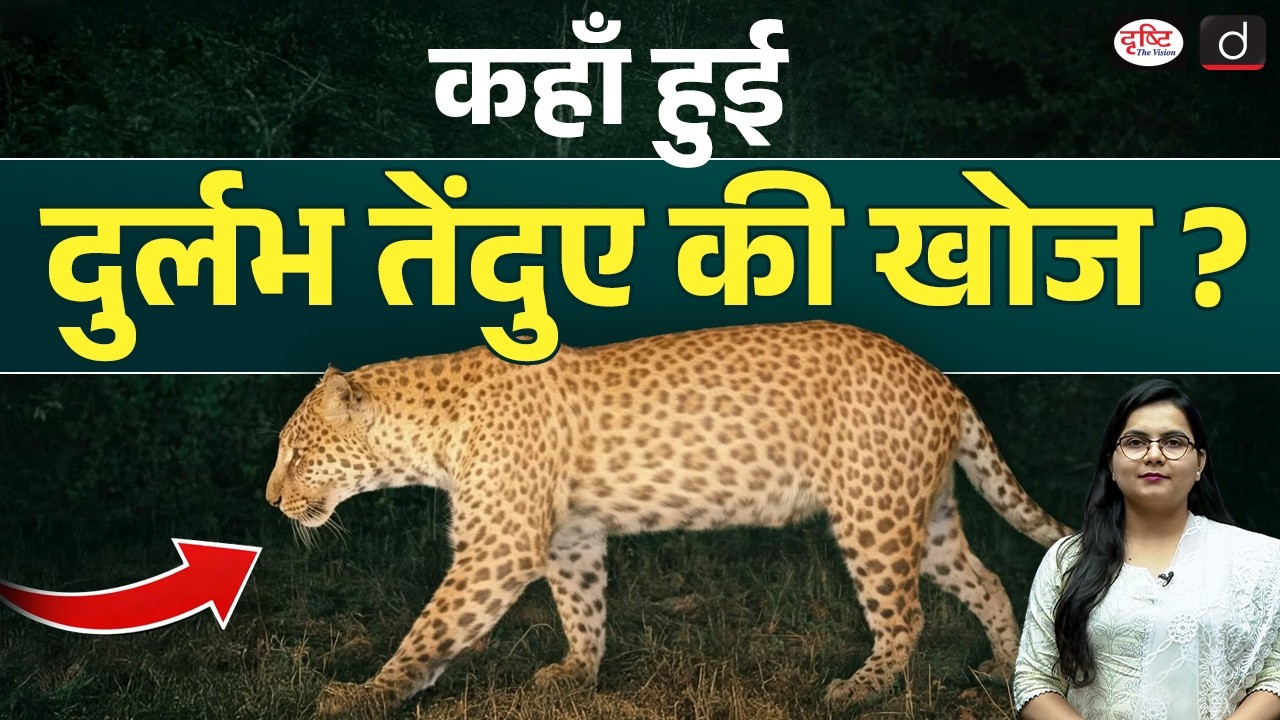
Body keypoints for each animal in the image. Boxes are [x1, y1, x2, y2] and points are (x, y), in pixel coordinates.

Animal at [264, 320, 1071, 718]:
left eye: (298, 451)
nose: (270, 501)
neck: (428, 431)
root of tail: (941, 379)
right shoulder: (570, 535)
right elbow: (582, 605)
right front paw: (576, 674)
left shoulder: (499, 543)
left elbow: (432, 629)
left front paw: (366, 695)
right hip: (920, 514)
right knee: (985, 578)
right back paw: (1006, 671)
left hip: (872, 512)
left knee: (905, 614)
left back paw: (860, 690)